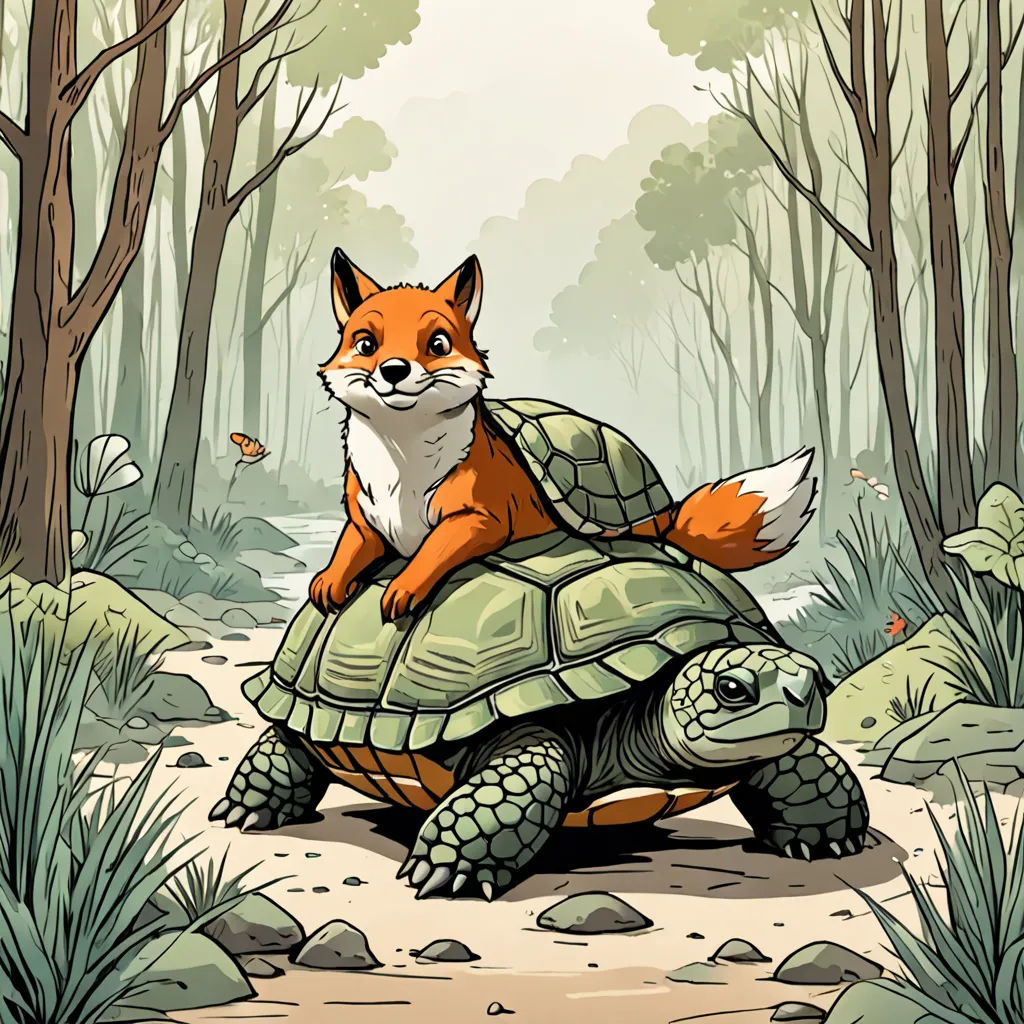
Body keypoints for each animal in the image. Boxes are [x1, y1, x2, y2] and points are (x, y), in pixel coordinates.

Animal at [313, 248, 817, 622]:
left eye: (437, 344)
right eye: (365, 344)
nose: (394, 370)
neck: (402, 469)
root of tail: (661, 501)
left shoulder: (482, 519)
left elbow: (432, 551)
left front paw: (404, 585)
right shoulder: (368, 520)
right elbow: (348, 548)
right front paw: (329, 581)